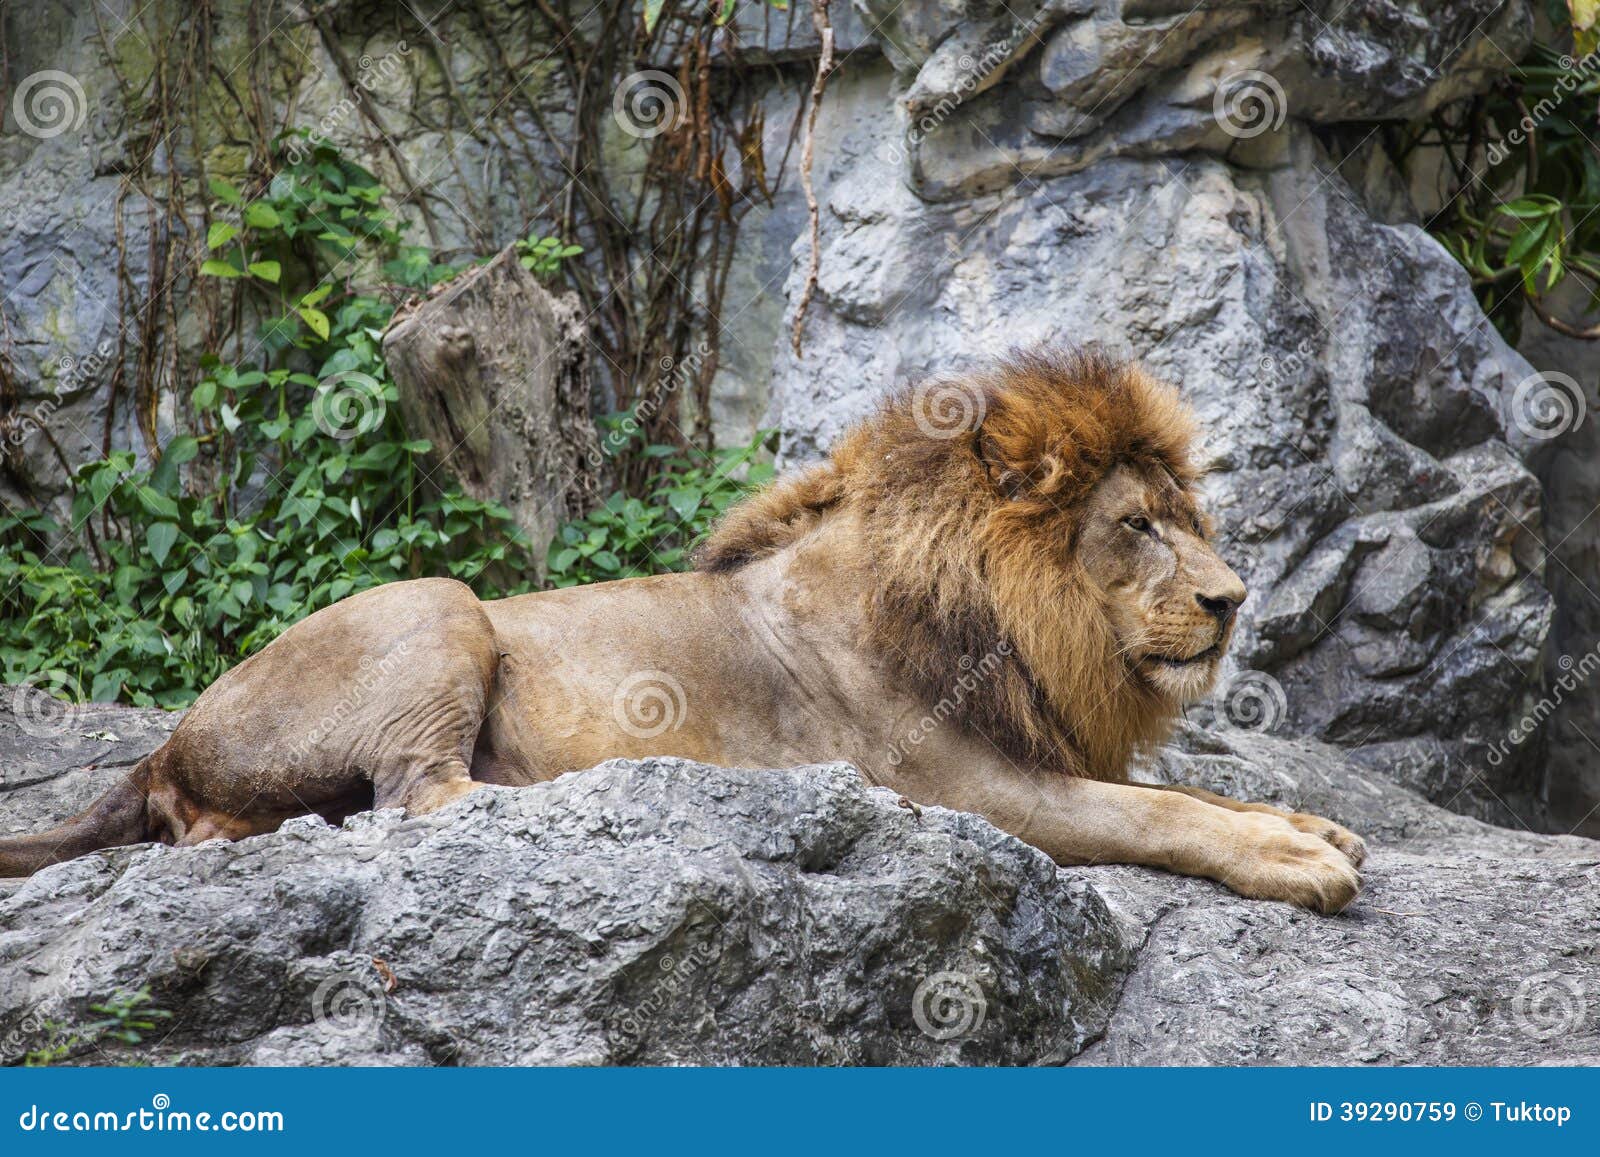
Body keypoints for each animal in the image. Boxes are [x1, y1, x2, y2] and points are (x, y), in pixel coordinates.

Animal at [0, 349, 1363, 911]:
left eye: (1192, 520)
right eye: (1135, 525)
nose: (1232, 598)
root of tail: (160, 745)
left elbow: (1199, 794)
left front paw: (1307, 824)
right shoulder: (967, 785)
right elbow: (1157, 813)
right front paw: (1295, 859)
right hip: (437, 601)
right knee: (415, 791)